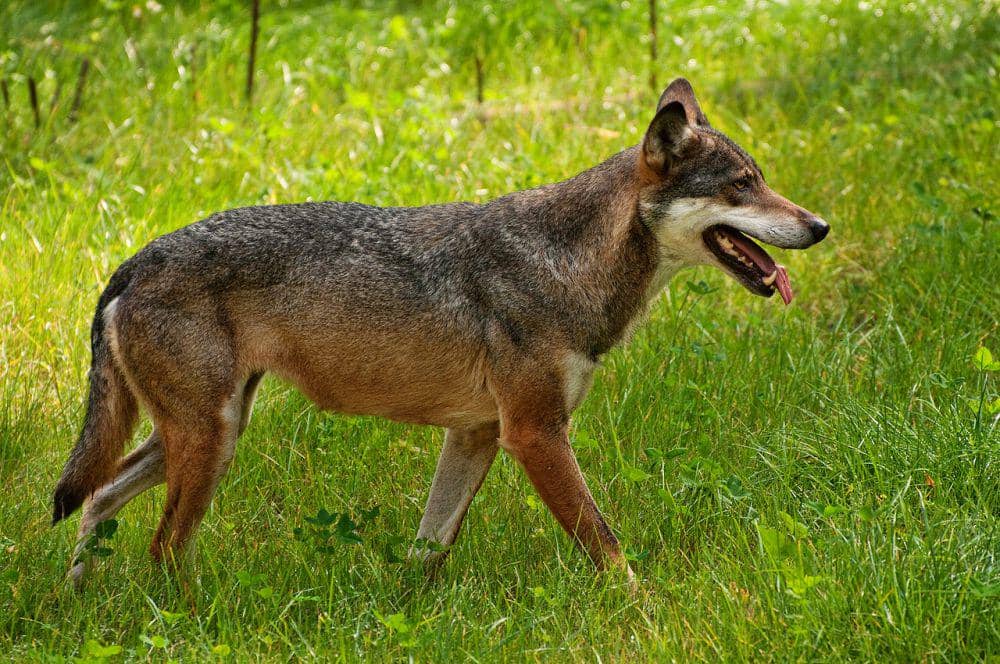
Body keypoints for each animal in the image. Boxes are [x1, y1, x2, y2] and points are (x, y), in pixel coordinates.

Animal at [52, 78, 828, 585]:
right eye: (742, 186)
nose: (821, 226)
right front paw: (643, 612)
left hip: (207, 435)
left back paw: (81, 603)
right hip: (209, 443)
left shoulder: (476, 435)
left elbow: (427, 552)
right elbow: (609, 551)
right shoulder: (535, 435)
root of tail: (132, 263)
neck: (571, 262)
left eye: (763, 180)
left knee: (95, 504)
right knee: (159, 548)